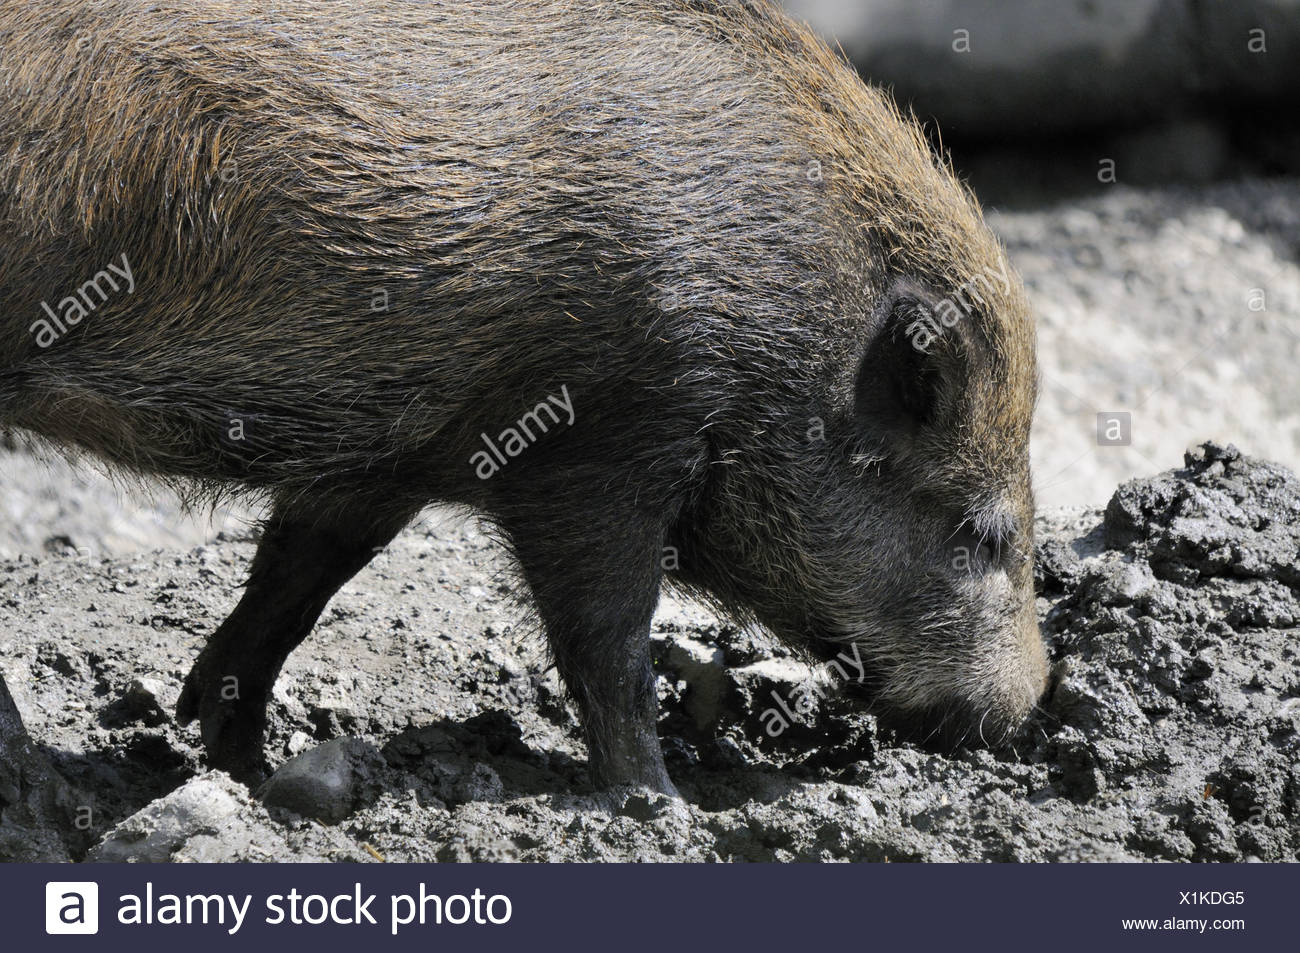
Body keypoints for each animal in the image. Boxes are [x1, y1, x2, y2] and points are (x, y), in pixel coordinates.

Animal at [0, 0, 1046, 803]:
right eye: (984, 533)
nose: (1028, 706)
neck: (788, 340)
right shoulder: (600, 445)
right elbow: (609, 642)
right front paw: (657, 804)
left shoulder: (382, 464)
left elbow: (294, 584)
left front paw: (245, 769)